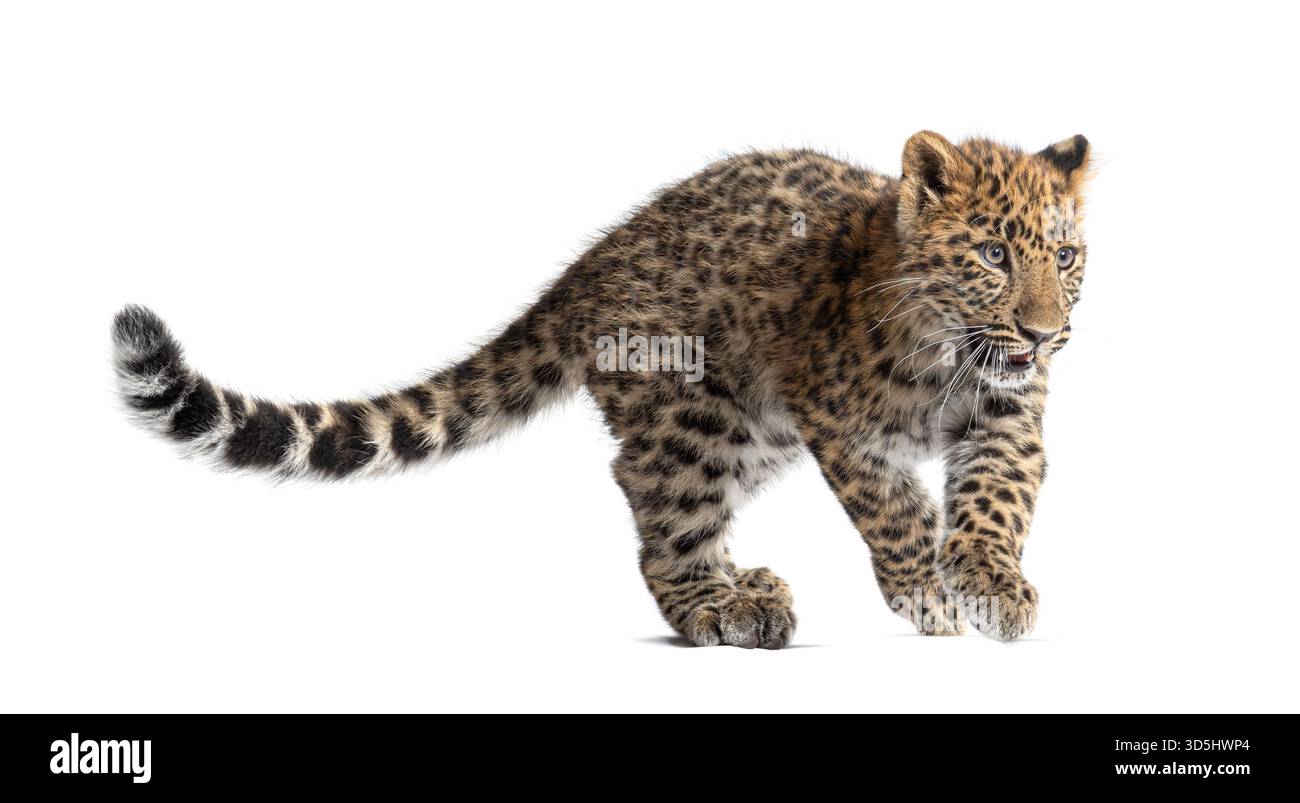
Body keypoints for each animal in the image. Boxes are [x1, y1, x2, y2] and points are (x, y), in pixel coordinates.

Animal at [111, 130, 1091, 647]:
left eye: (1065, 254)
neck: (951, 351)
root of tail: (595, 259)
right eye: (992, 254)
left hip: (756, 428)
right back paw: (724, 606)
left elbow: (997, 495)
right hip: (700, 411)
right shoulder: (843, 423)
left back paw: (745, 584)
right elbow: (895, 510)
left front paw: (991, 583)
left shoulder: (1006, 413)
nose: (1045, 333)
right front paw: (927, 590)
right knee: (661, 514)